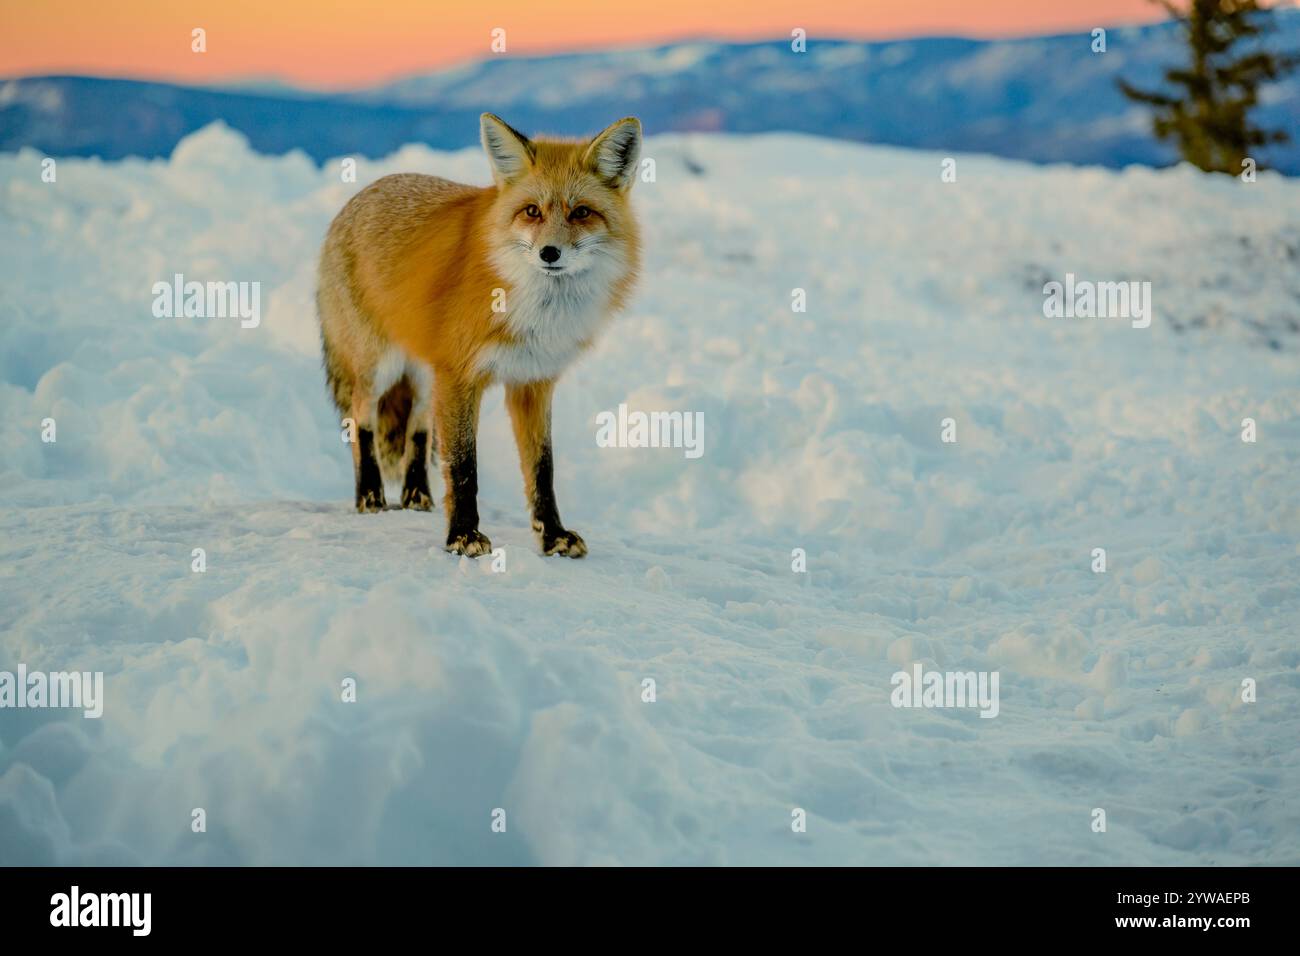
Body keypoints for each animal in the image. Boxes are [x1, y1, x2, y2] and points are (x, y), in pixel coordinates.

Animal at [316, 113, 642, 557]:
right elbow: (462, 466)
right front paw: (462, 536)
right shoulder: (459, 376)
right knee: (360, 418)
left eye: (581, 213)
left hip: (424, 376)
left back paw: (416, 495)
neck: (536, 309)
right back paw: (370, 496)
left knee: (418, 429)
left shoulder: (532, 381)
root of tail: (363, 194)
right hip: (377, 367)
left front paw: (553, 535)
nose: (549, 253)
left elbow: (542, 470)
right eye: (532, 211)